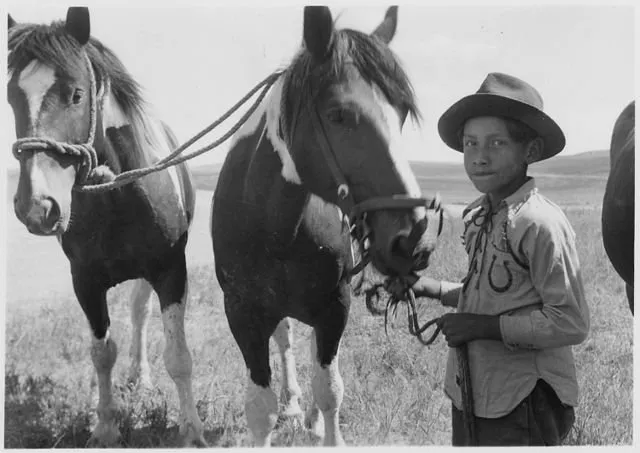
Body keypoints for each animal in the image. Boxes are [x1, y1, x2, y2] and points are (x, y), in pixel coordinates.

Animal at [8, 8, 206, 446]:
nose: (36, 206)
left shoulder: (170, 271)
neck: (118, 194)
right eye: (11, 96)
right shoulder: (85, 280)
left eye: (77, 94)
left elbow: (178, 355)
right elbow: (102, 353)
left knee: (140, 313)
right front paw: (105, 426)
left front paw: (191, 430)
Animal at [211, 6, 443, 446]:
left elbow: (330, 388)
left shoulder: (335, 306)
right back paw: (293, 404)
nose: (412, 241)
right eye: (339, 115)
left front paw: (323, 422)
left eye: (401, 114)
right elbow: (260, 409)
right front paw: (283, 408)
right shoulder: (243, 315)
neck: (275, 227)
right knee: (285, 341)